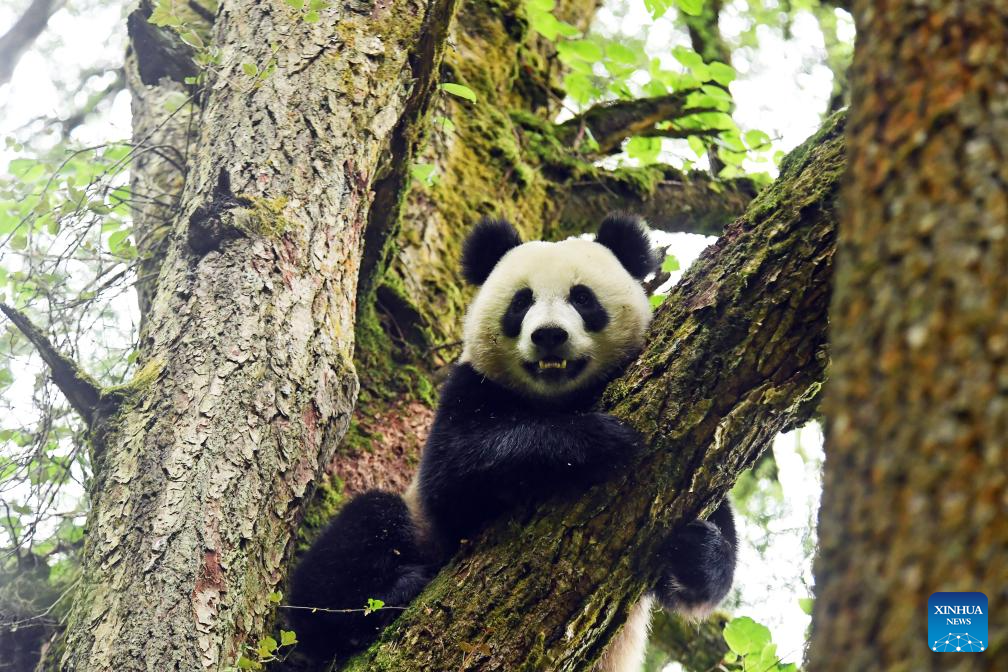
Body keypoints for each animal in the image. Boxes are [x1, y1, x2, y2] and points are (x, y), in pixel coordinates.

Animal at [288, 213, 737, 670]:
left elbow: (709, 546)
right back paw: (376, 603)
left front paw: (697, 549)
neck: (557, 397)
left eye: (582, 298)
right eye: (522, 302)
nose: (549, 335)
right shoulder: (469, 387)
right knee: (354, 540)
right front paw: (596, 439)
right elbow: (454, 473)